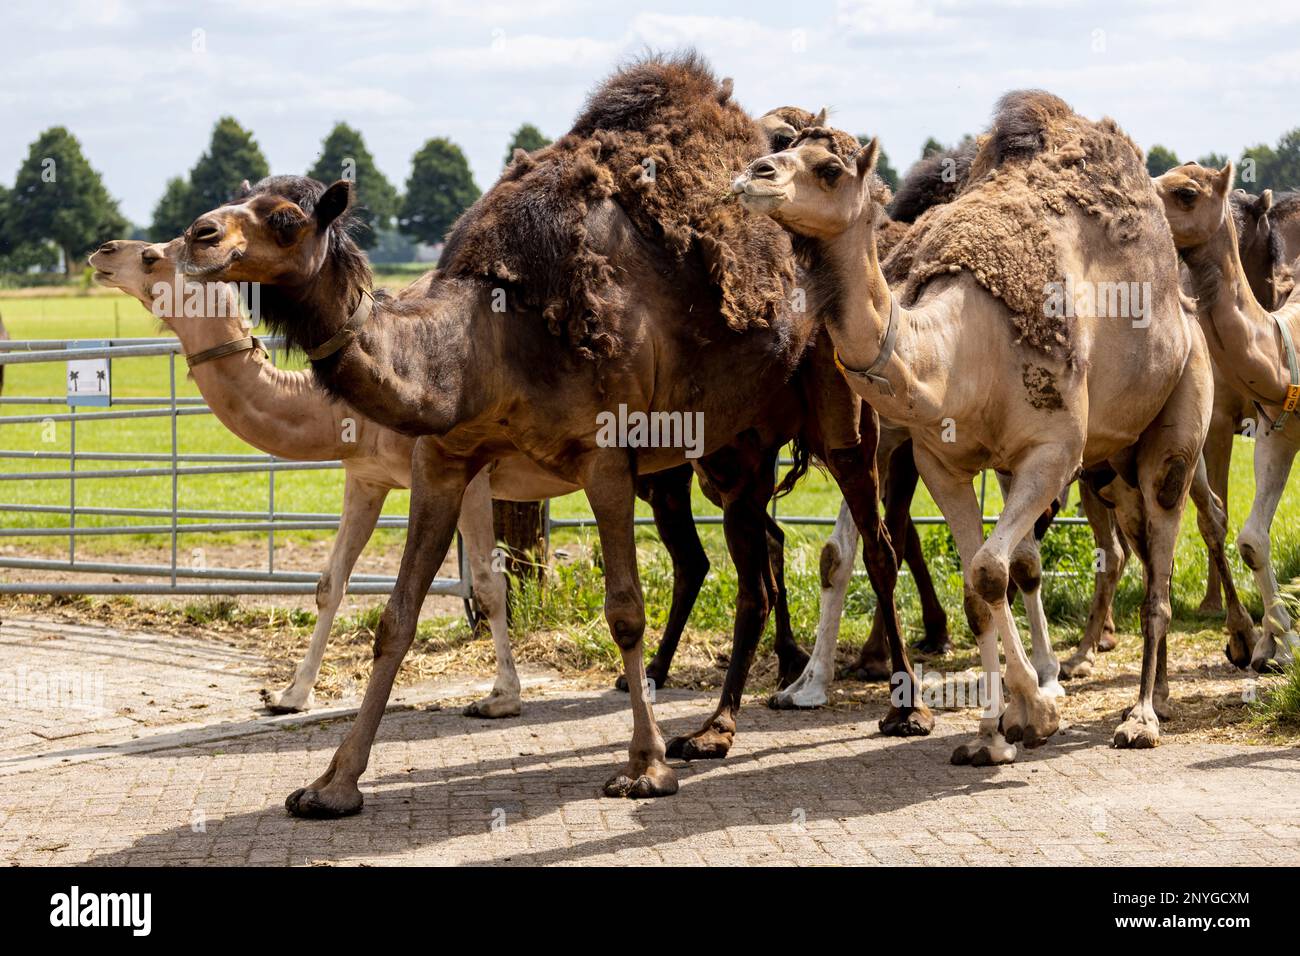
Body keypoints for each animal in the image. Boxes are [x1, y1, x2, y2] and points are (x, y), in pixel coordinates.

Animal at [86, 236, 726, 719]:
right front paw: (290, 695)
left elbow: (488, 586)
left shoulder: (467, 474)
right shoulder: (366, 477)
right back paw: (659, 675)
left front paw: (502, 696)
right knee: (698, 559)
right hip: (670, 472)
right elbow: (330, 583)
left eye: (152, 256)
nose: (103, 251)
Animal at [177, 55, 928, 816]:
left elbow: (624, 609)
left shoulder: (605, 456)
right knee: (758, 567)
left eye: (285, 218)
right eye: (237, 200)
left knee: (876, 541)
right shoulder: (443, 460)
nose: (197, 236)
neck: (485, 340)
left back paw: (904, 709)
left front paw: (644, 768)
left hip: (845, 408)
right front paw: (332, 784)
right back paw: (714, 731)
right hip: (731, 445)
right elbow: (397, 618)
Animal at [735, 92, 1219, 758]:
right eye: (783, 148)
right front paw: (995, 733)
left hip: (1176, 416)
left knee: (1159, 566)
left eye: (829, 169)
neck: (959, 346)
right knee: (1139, 554)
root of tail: (1186, 307)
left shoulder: (1054, 451)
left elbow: (993, 571)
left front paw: (1037, 711)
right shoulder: (941, 462)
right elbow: (975, 584)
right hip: (1109, 460)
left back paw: (1141, 716)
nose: (754, 174)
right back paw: (1158, 697)